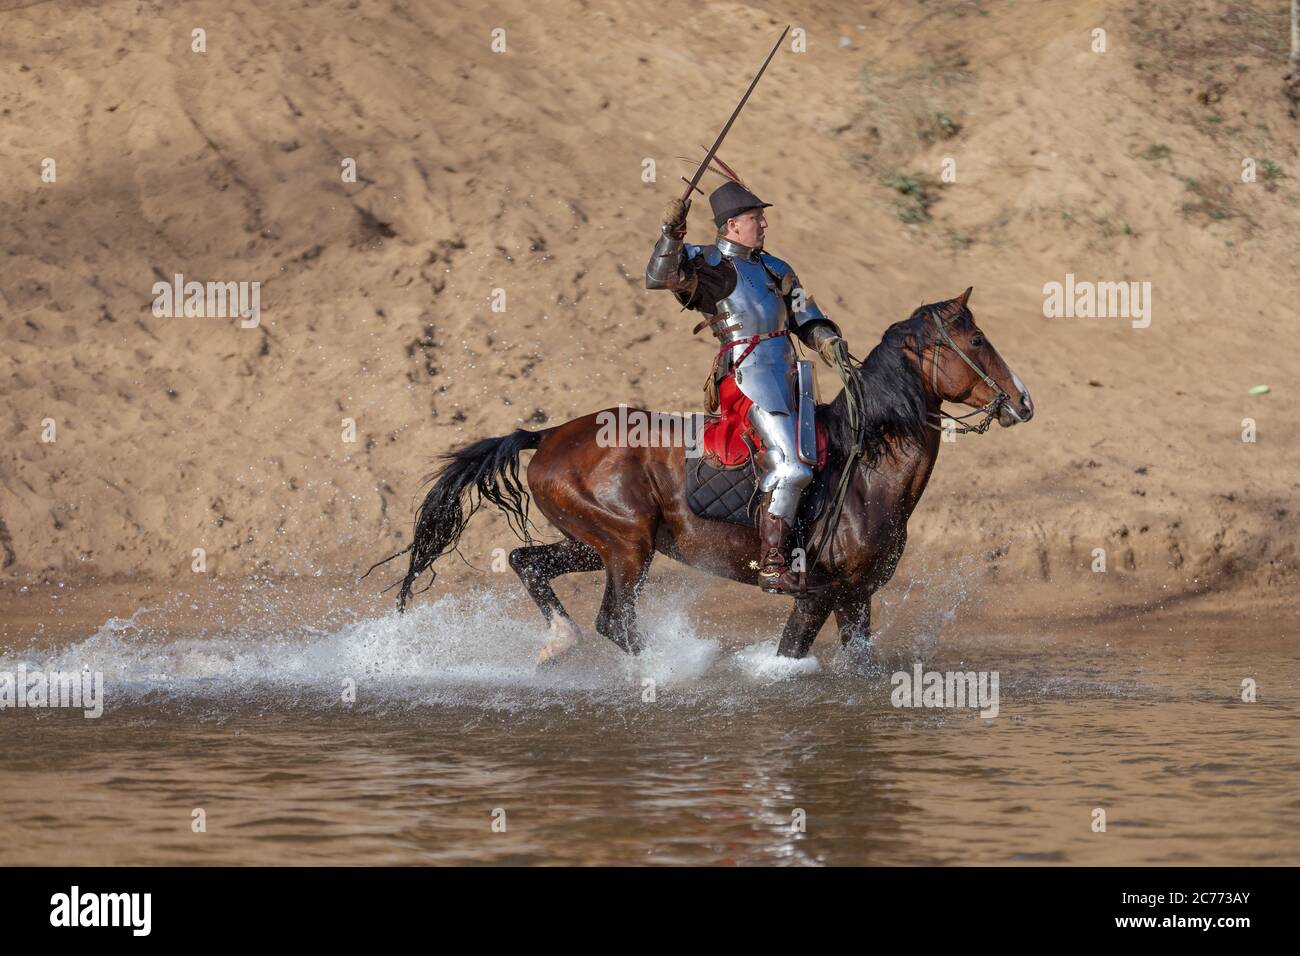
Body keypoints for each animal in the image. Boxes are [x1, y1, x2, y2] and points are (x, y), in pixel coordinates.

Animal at [368, 287, 1033, 663]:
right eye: (977, 338)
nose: (1024, 402)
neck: (864, 464)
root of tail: (549, 435)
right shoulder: (818, 594)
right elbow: (787, 659)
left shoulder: (855, 598)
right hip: (627, 545)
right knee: (614, 621)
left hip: (596, 542)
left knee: (528, 563)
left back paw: (559, 646)